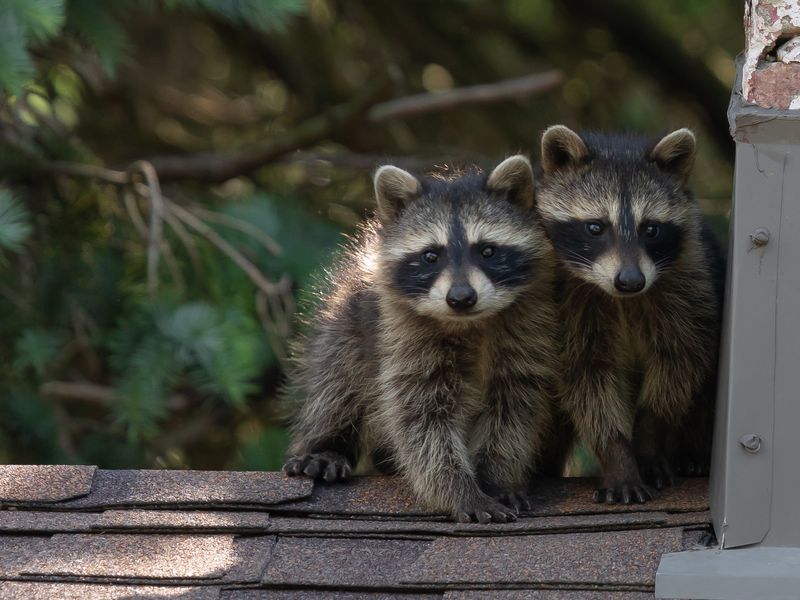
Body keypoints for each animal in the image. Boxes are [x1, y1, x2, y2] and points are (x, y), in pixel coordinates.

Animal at [283, 156, 561, 522]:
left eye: (487, 251)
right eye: (431, 256)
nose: (461, 298)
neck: (471, 324)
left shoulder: (529, 329)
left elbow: (514, 409)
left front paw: (497, 478)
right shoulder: (403, 335)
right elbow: (421, 420)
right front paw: (458, 488)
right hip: (347, 319)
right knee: (337, 382)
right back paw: (327, 443)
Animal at [535, 125, 724, 503]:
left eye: (650, 229)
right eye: (596, 227)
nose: (630, 281)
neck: (619, 298)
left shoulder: (689, 289)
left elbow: (676, 367)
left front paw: (649, 441)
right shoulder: (568, 306)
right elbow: (589, 381)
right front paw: (618, 456)